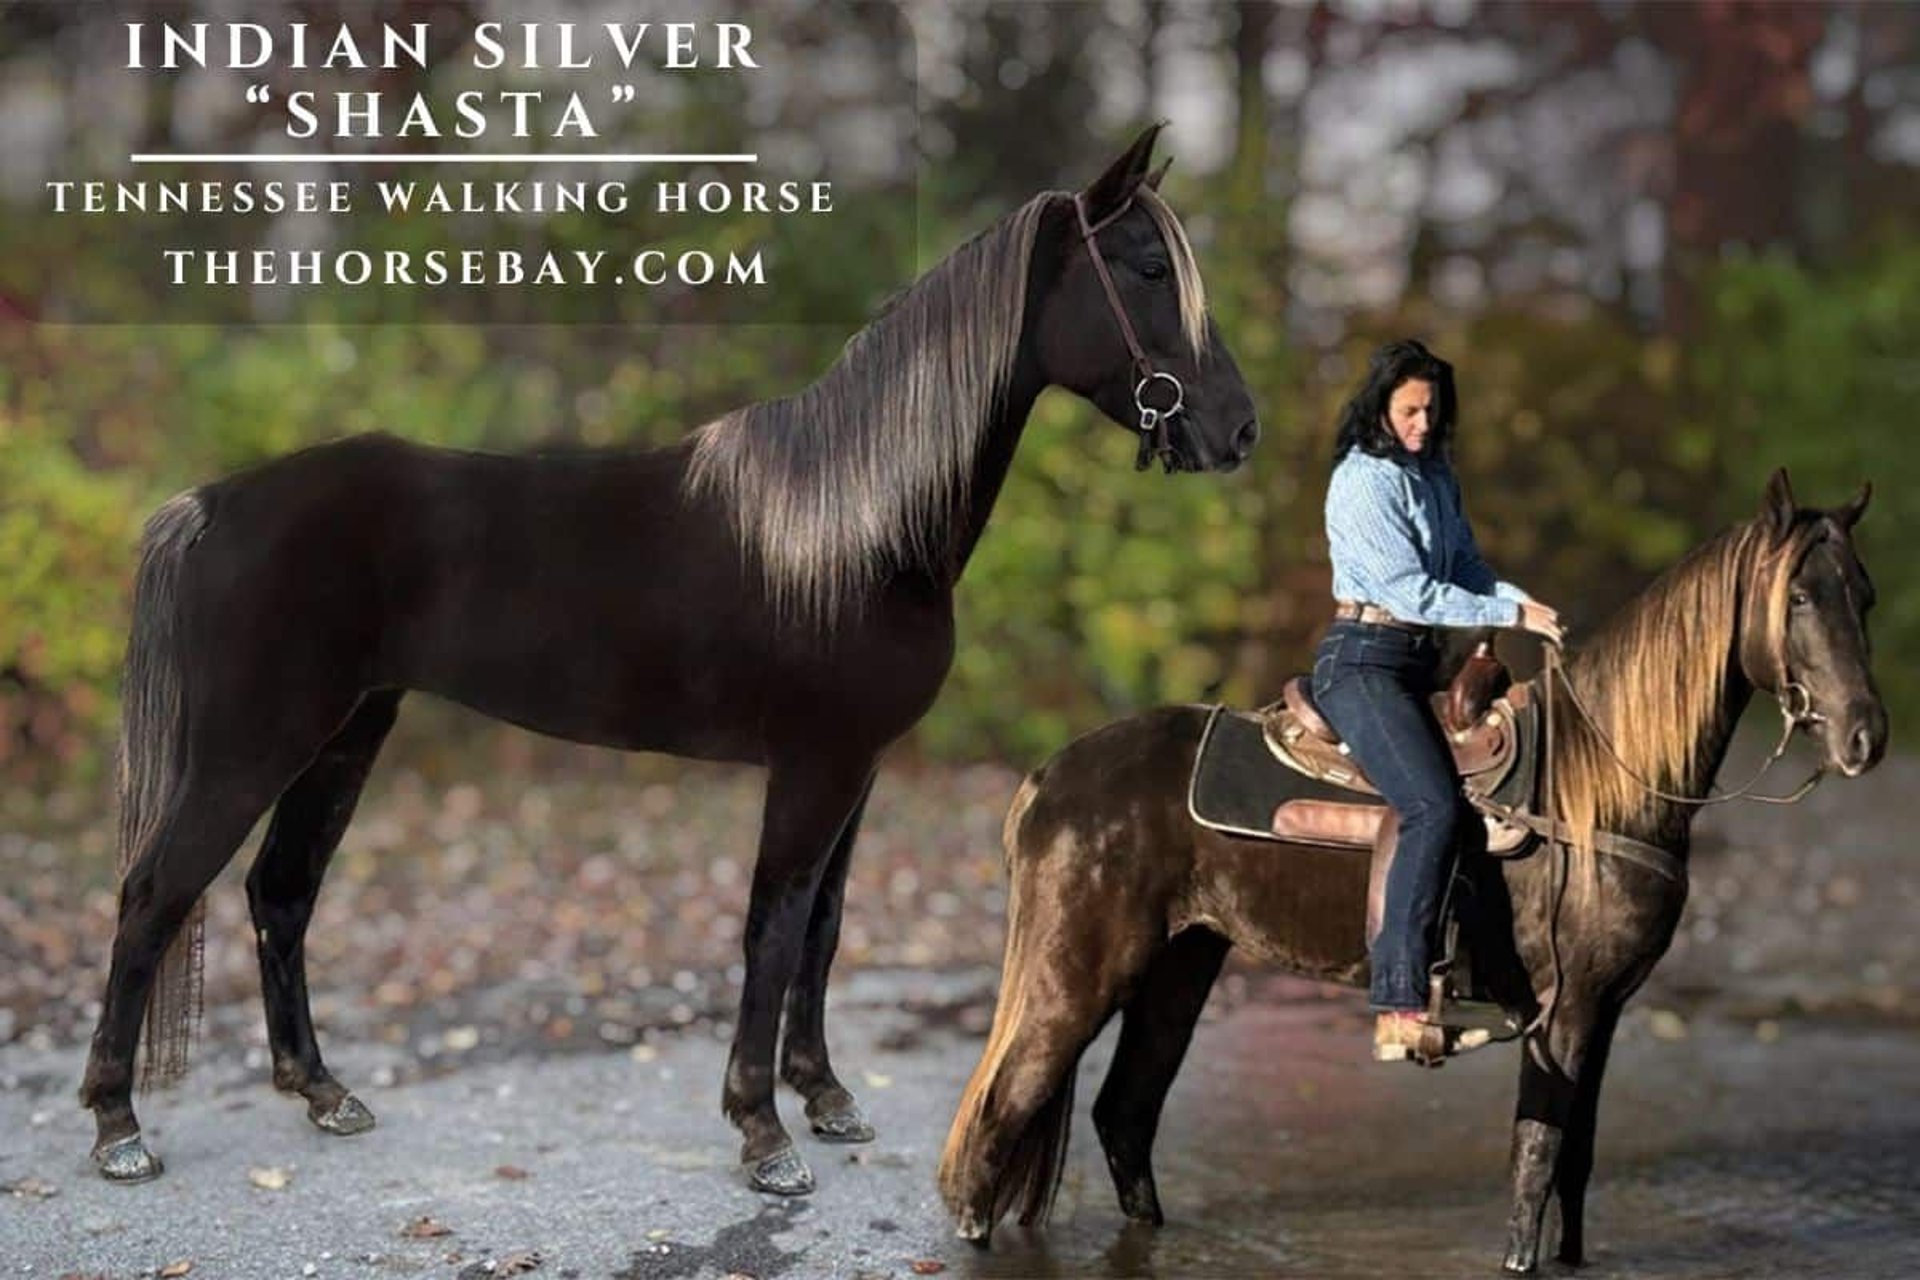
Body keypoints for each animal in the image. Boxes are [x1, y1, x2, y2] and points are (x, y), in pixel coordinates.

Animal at [79, 123, 1262, 1196]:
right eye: (1148, 270)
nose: (1240, 430)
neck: (861, 526)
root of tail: (212, 505)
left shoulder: (858, 769)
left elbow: (825, 929)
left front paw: (826, 1097)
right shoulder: (814, 767)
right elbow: (771, 930)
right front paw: (764, 1134)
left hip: (348, 731)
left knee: (280, 892)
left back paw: (325, 1094)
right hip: (256, 743)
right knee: (154, 895)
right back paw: (118, 1128)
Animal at [939, 469, 1884, 1273]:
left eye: (1865, 595)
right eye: (1800, 597)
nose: (1865, 738)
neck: (1599, 786)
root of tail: (1050, 775)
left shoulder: (1608, 1008)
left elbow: (1576, 1163)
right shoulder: (1564, 1008)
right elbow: (1536, 1159)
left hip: (1180, 968)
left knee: (1124, 1116)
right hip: (1077, 976)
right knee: (995, 1126)